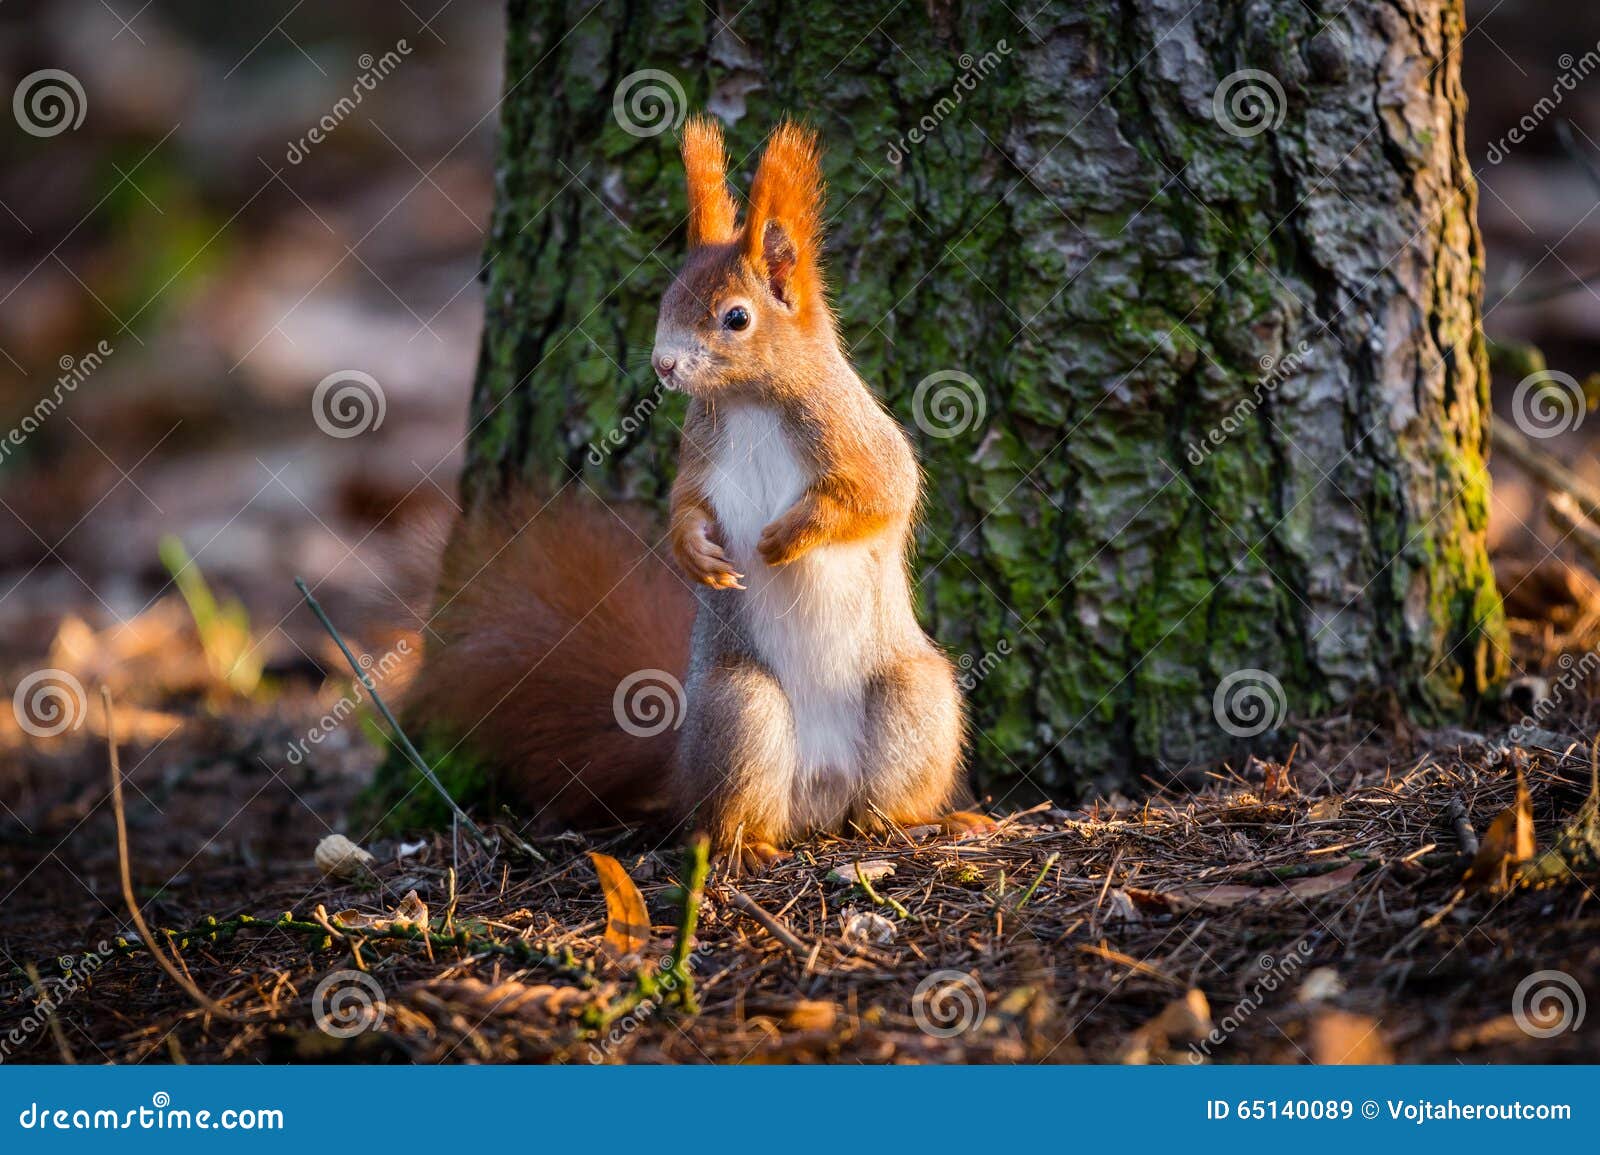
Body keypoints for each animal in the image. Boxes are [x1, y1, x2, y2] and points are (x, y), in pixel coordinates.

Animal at [405, 116, 991, 870]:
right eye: (664, 302)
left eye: (735, 318)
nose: (663, 365)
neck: (748, 400)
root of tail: (821, 796)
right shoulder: (697, 460)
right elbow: (683, 506)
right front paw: (697, 554)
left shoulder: (859, 437)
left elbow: (883, 492)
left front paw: (789, 534)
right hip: (741, 708)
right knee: (728, 811)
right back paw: (749, 845)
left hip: (913, 699)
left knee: (883, 803)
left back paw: (926, 824)